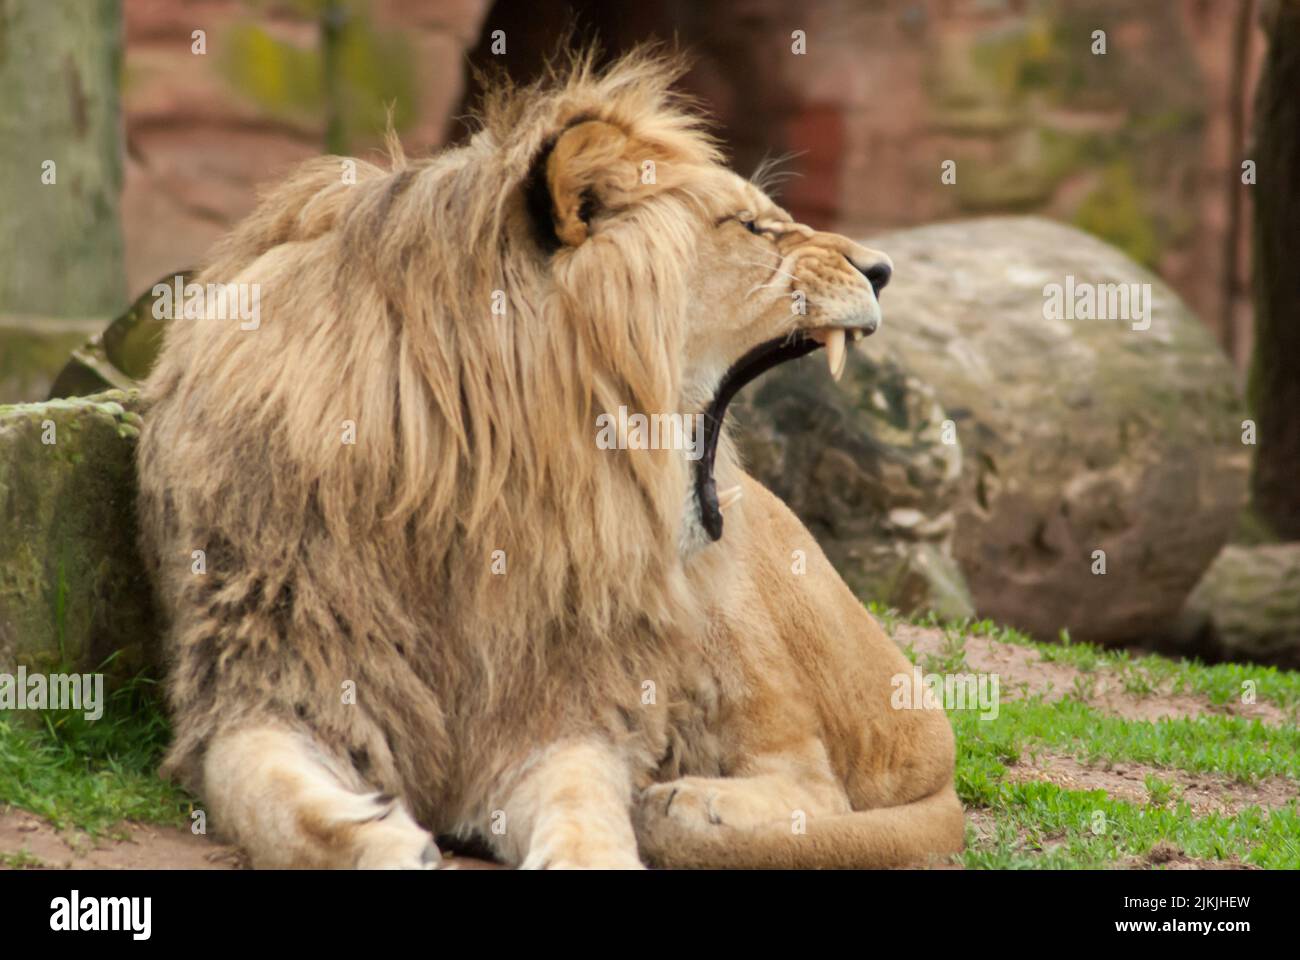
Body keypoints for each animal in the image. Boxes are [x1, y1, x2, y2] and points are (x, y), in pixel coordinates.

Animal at [135, 48, 964, 869]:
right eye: (753, 227)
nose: (883, 268)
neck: (470, 485)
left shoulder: (564, 701)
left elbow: (583, 810)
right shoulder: (276, 670)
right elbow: (263, 790)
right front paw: (377, 837)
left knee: (814, 786)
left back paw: (691, 802)